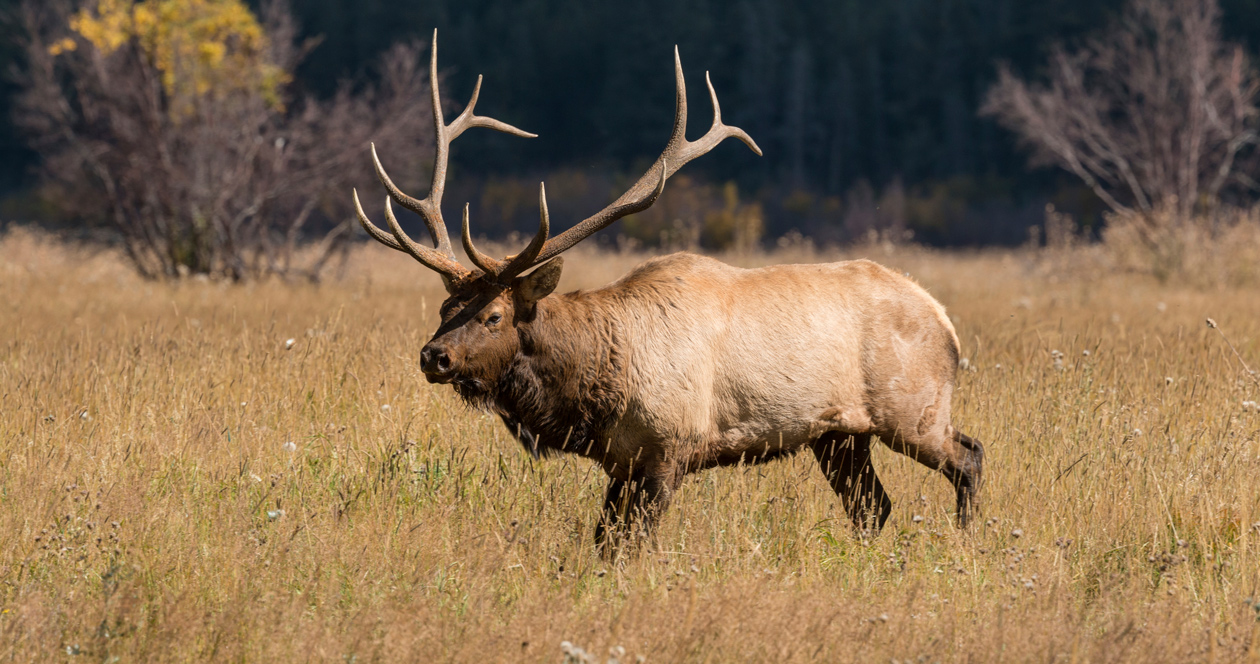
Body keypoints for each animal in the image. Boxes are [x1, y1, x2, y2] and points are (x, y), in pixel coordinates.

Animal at [352, 33, 984, 555]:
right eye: (446, 307)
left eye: (494, 315)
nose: (433, 356)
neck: (597, 385)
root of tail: (947, 321)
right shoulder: (622, 462)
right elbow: (603, 543)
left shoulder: (670, 450)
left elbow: (633, 546)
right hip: (839, 436)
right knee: (874, 507)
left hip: (913, 411)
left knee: (968, 458)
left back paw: (966, 544)